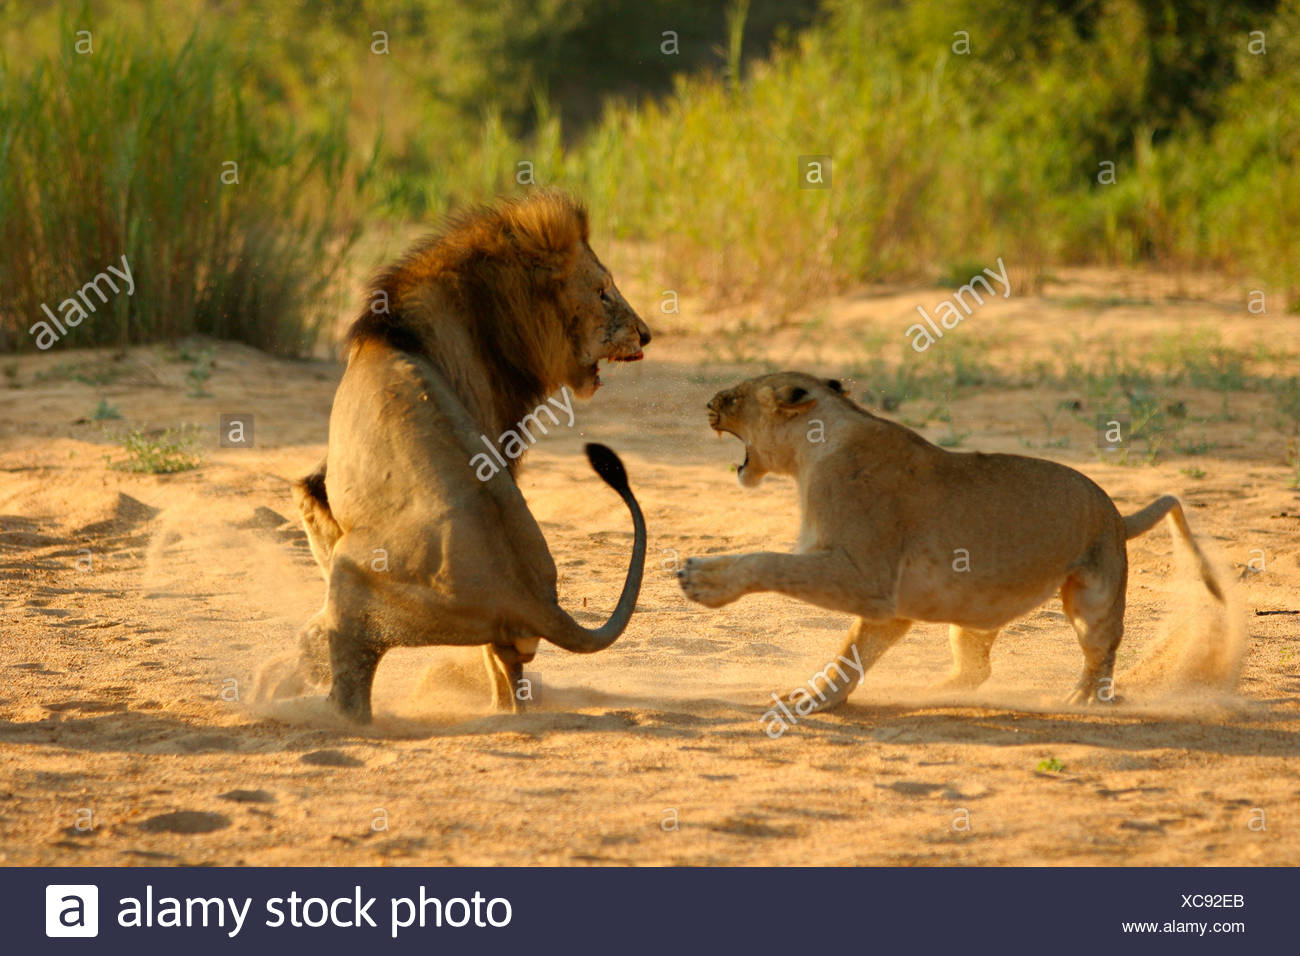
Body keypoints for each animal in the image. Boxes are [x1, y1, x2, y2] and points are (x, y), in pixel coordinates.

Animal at [283, 191, 652, 723]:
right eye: (602, 292)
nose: (646, 335)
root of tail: (531, 597)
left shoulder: (326, 487)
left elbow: (313, 516)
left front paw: (306, 646)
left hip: (357, 578)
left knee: (353, 694)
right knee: (508, 665)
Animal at [676, 371, 1226, 710]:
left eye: (735, 396)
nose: (706, 403)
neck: (813, 450)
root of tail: (1117, 514)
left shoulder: (867, 578)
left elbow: (770, 561)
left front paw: (703, 580)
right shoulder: (888, 604)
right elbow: (851, 652)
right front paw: (817, 697)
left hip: (1094, 599)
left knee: (1102, 653)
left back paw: (1086, 698)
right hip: (972, 611)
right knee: (976, 669)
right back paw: (930, 691)